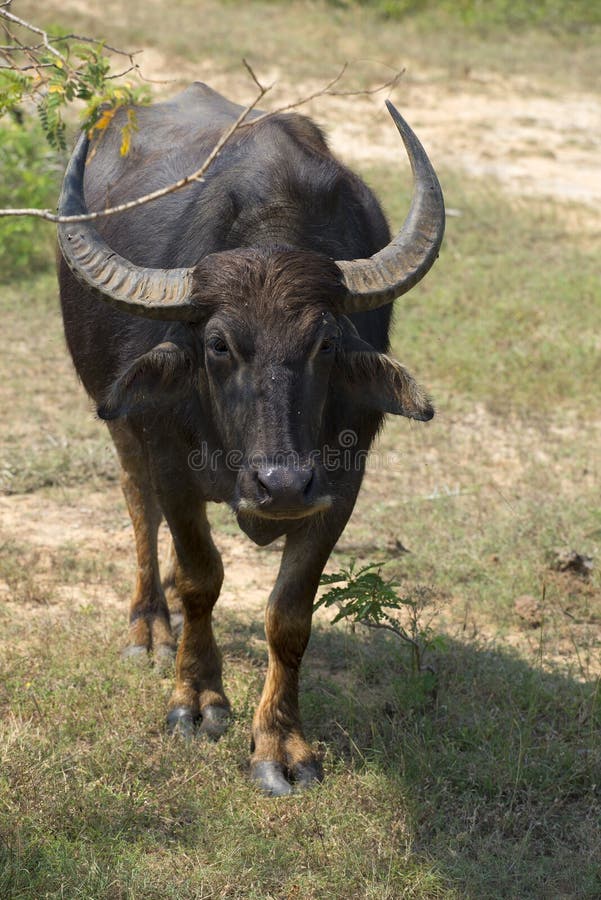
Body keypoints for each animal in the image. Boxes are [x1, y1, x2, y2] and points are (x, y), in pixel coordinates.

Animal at [57, 82, 444, 796]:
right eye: (218, 344)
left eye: (324, 344)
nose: (282, 484)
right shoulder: (170, 457)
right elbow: (201, 578)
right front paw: (195, 700)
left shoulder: (340, 479)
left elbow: (289, 612)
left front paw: (280, 744)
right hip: (121, 419)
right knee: (139, 508)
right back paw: (149, 628)